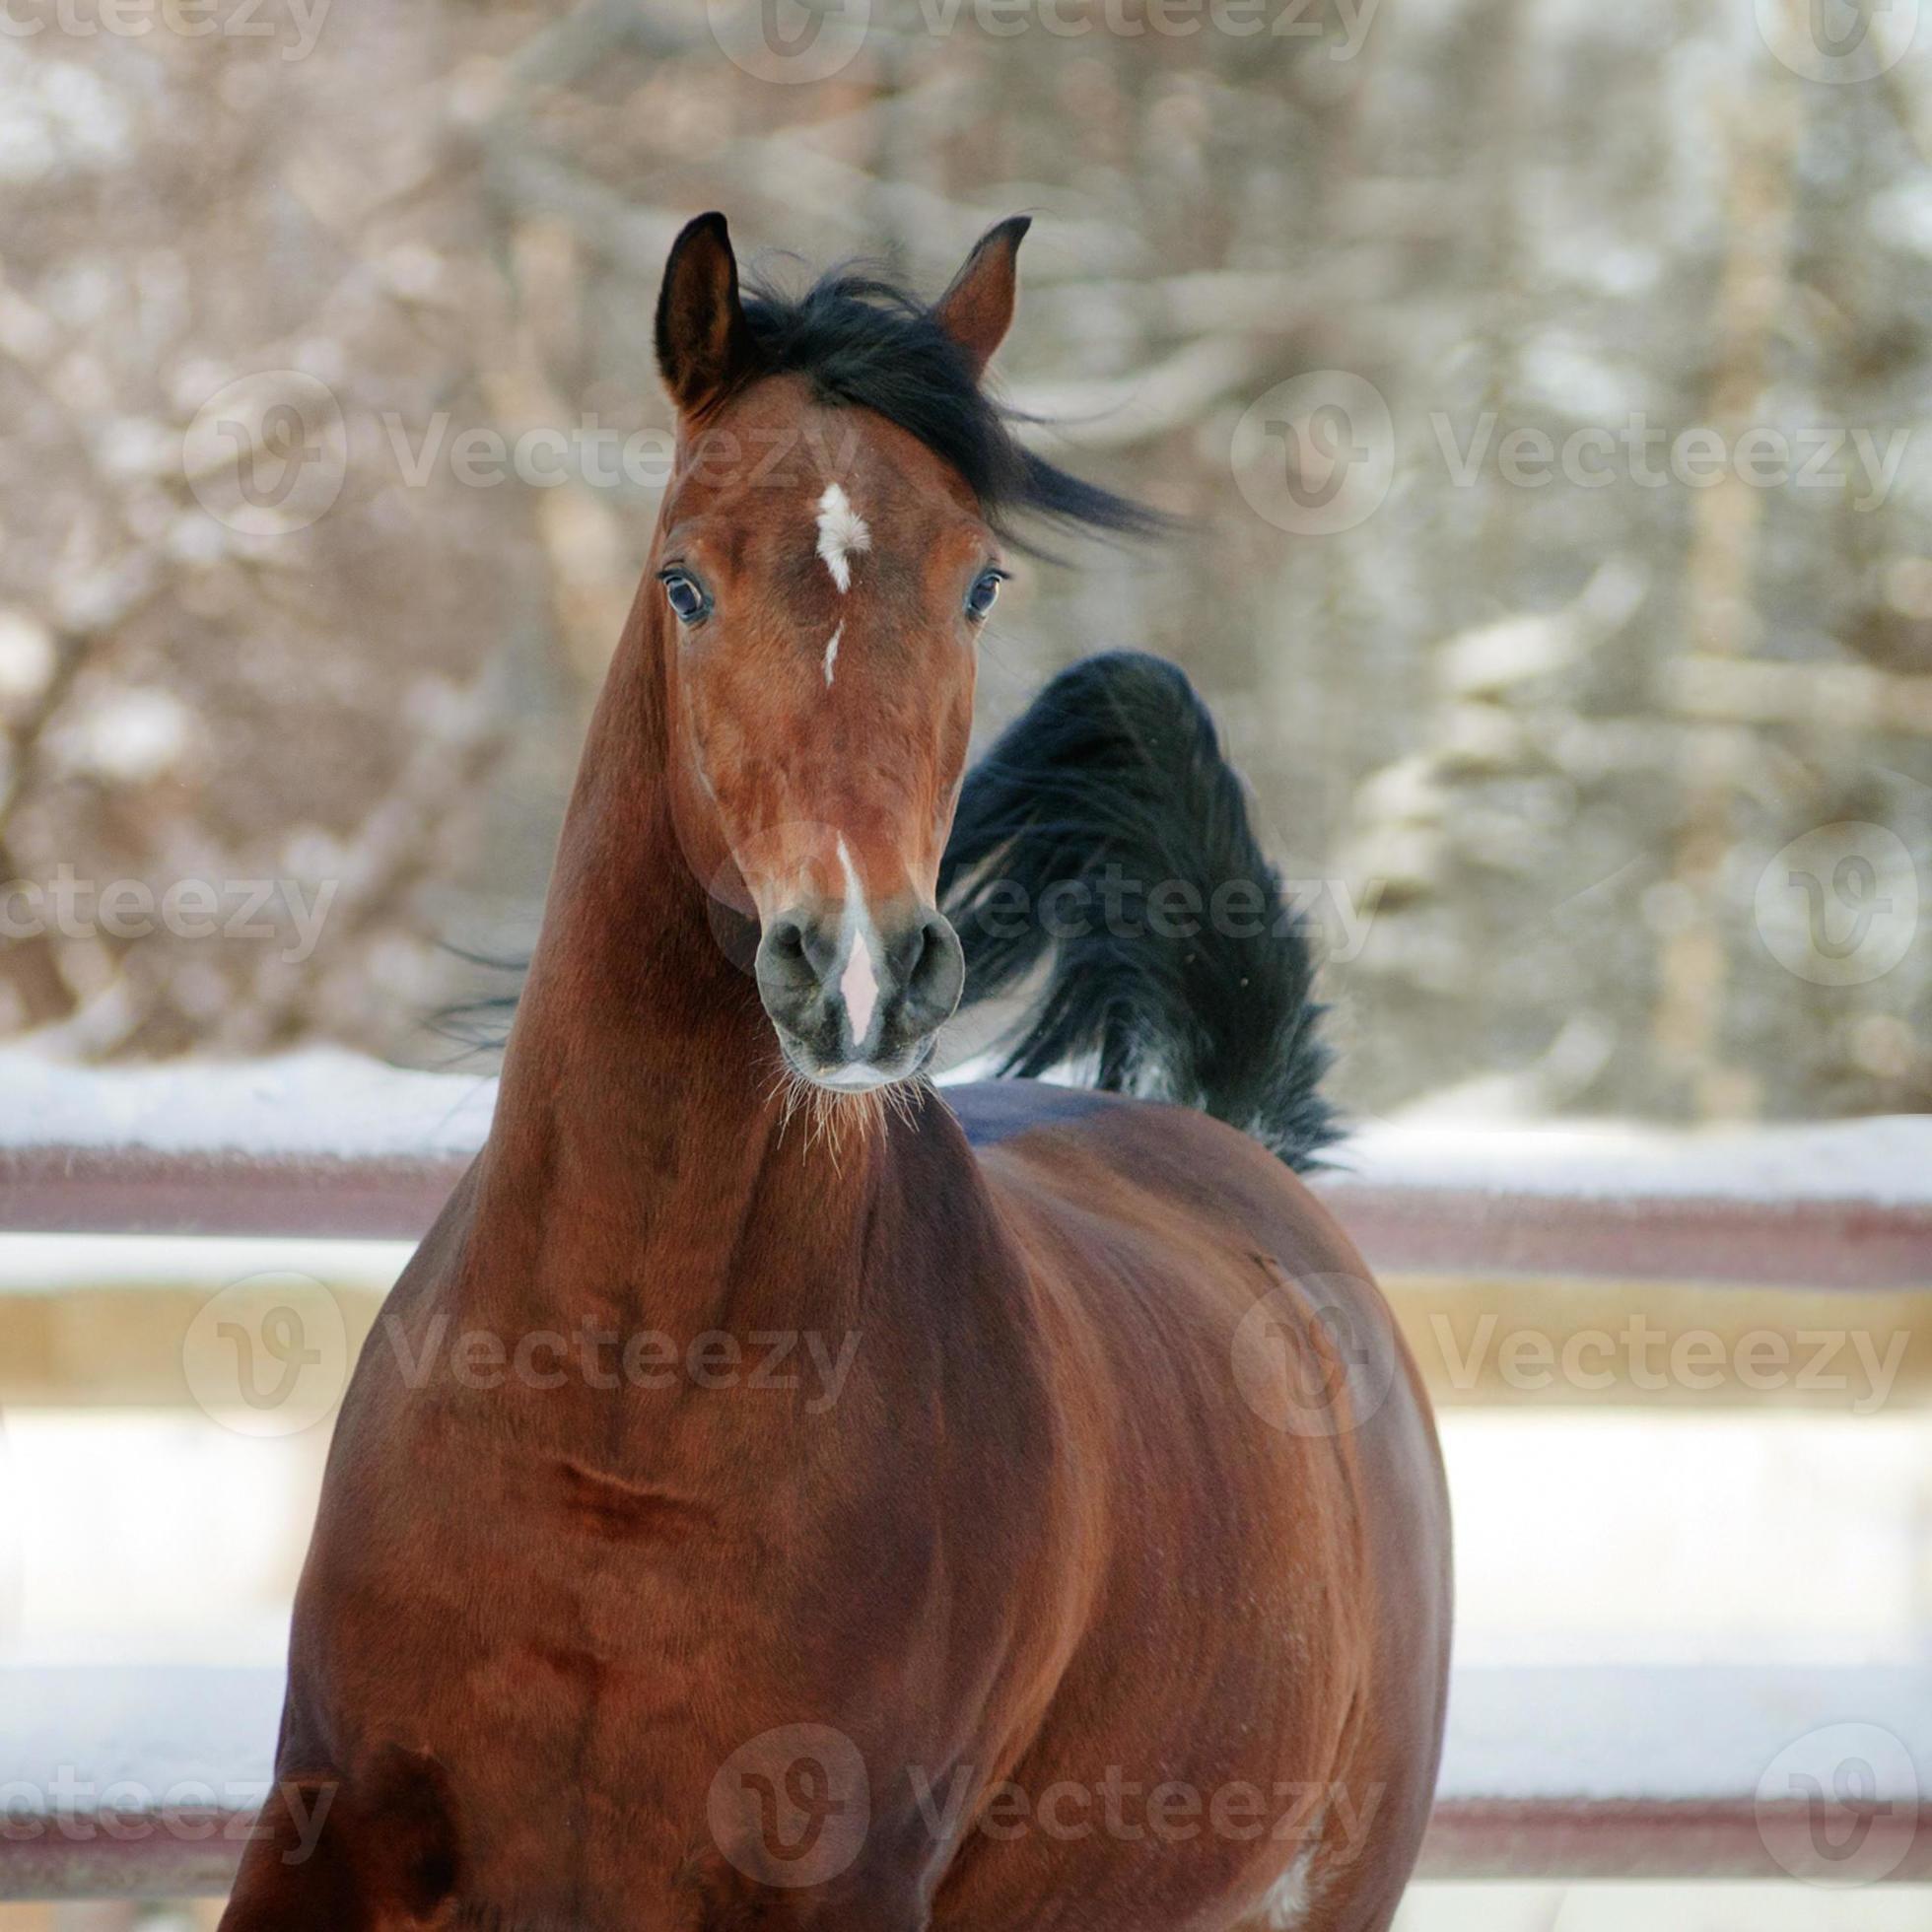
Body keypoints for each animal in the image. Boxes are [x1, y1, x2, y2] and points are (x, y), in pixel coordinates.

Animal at [218, 212, 1451, 1932]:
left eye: (982, 580)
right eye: (683, 579)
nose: (860, 972)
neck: (627, 1426)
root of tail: (1236, 1145)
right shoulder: (321, 1830)